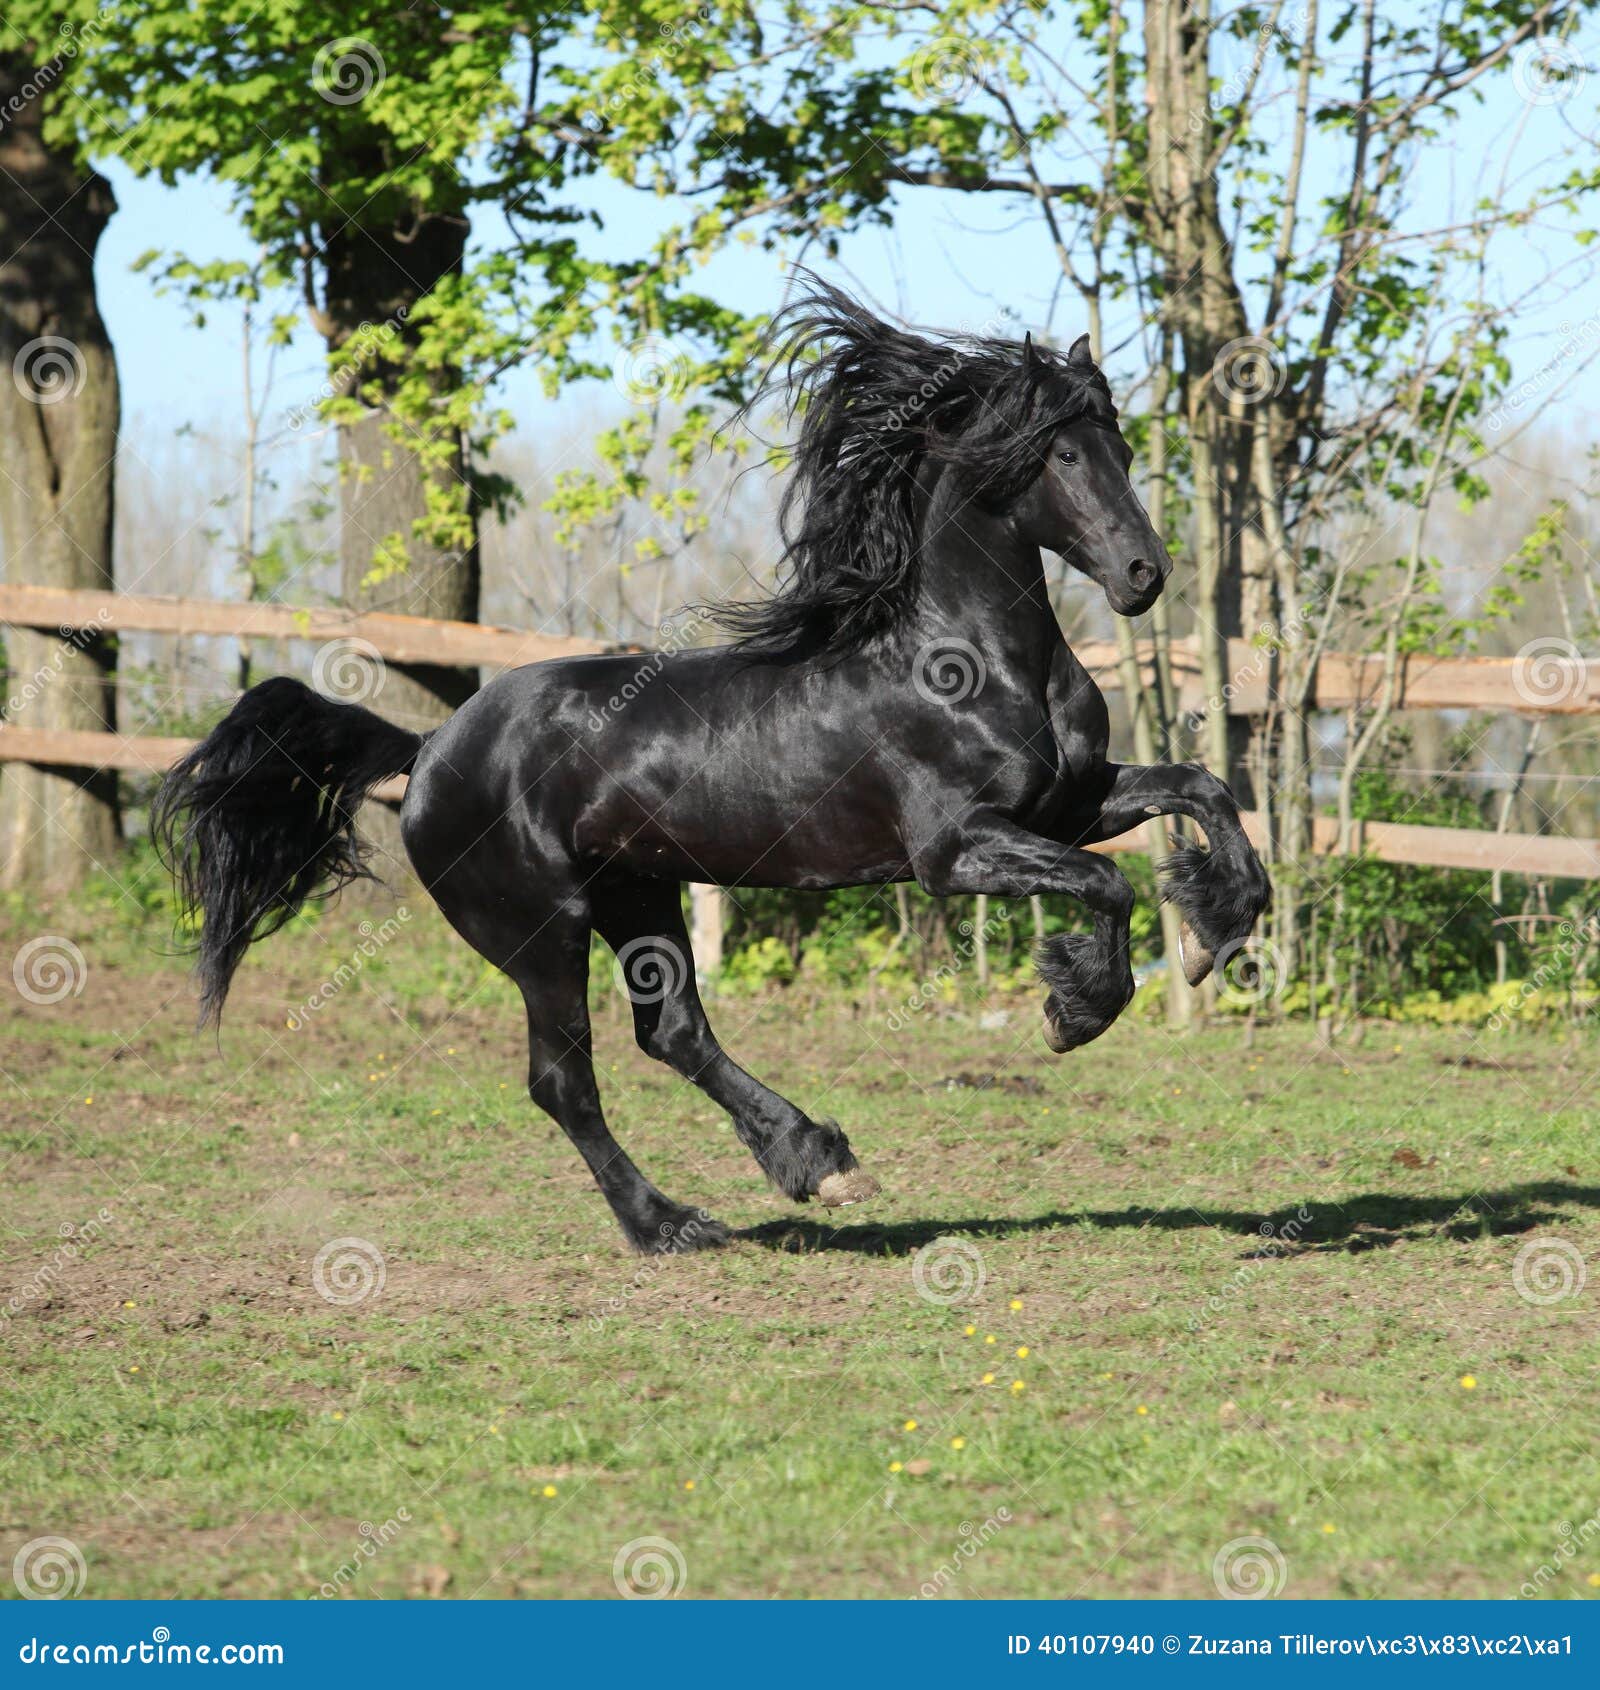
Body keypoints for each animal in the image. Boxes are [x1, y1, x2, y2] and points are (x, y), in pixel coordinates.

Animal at [154, 278, 1271, 1255]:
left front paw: (1216, 930)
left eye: (1117, 443)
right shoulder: (954, 851)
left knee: (674, 1033)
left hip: (639, 894)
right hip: (541, 930)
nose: (1143, 575)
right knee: (566, 1081)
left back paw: (815, 1162)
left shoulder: (1069, 802)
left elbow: (1200, 788)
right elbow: (1106, 884)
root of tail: (429, 751)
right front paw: (1075, 1012)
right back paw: (669, 1224)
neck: (967, 662)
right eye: (1063, 454)